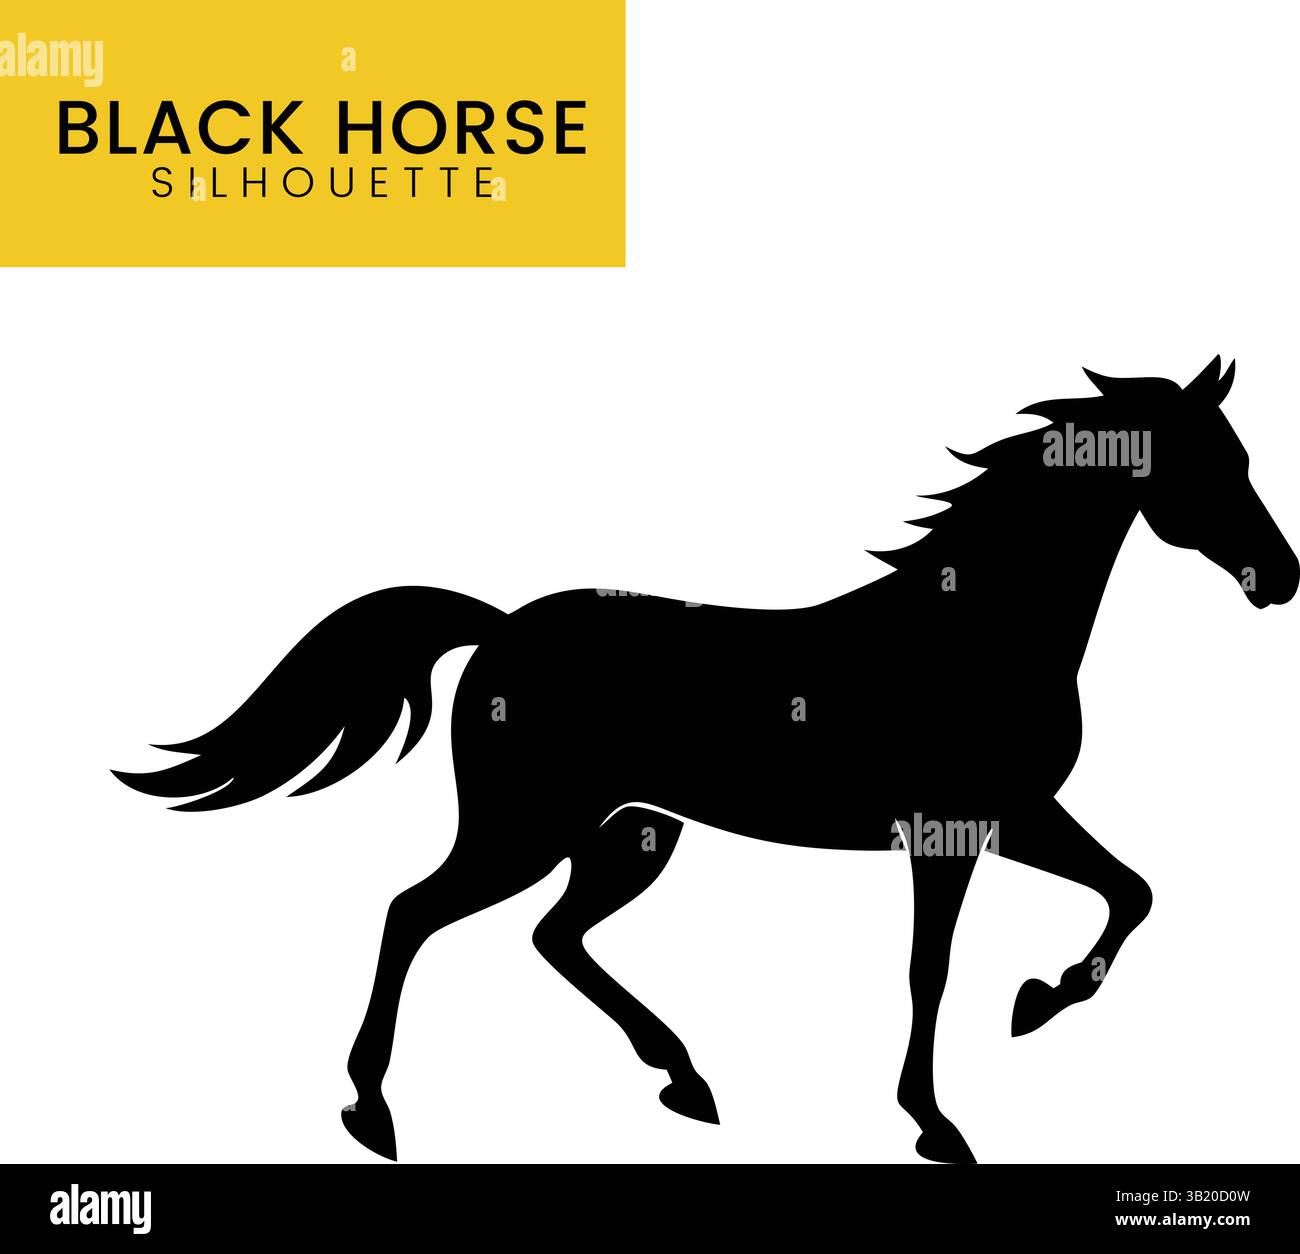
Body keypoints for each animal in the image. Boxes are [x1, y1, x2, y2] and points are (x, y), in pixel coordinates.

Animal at [114, 357, 1297, 1163]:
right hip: (524, 828)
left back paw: (683, 1078)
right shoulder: (955, 830)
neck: (974, 631)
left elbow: (1131, 891)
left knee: (553, 935)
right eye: (1211, 465)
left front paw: (1035, 1003)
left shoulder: (1014, 817)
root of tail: (498, 631)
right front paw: (938, 1121)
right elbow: (934, 967)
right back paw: (371, 1109)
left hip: (637, 832)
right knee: (414, 912)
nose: (1279, 579)